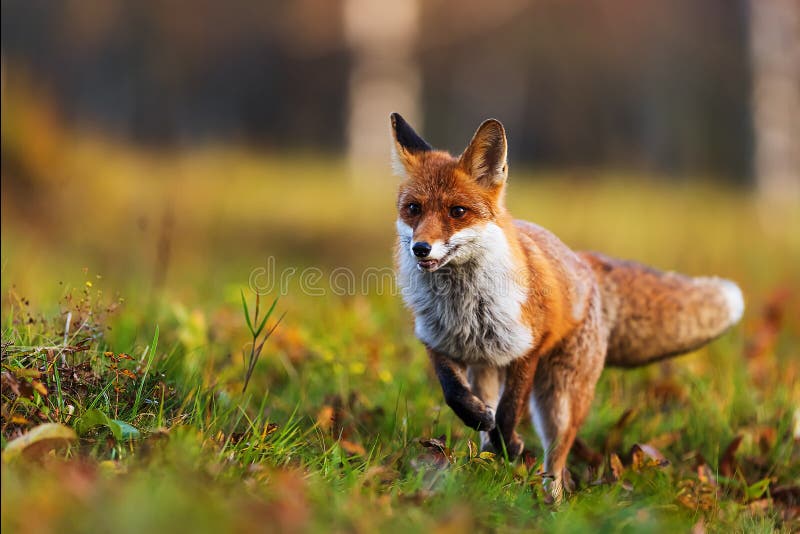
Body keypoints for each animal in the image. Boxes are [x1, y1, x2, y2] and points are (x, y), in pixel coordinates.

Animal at [390, 112, 745, 502]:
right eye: (413, 209)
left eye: (457, 212)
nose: (420, 248)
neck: (464, 308)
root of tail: (583, 261)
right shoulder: (436, 341)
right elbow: (455, 395)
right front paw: (483, 424)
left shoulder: (527, 348)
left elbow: (509, 412)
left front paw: (509, 445)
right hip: (488, 370)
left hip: (559, 401)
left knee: (556, 464)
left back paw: (551, 502)